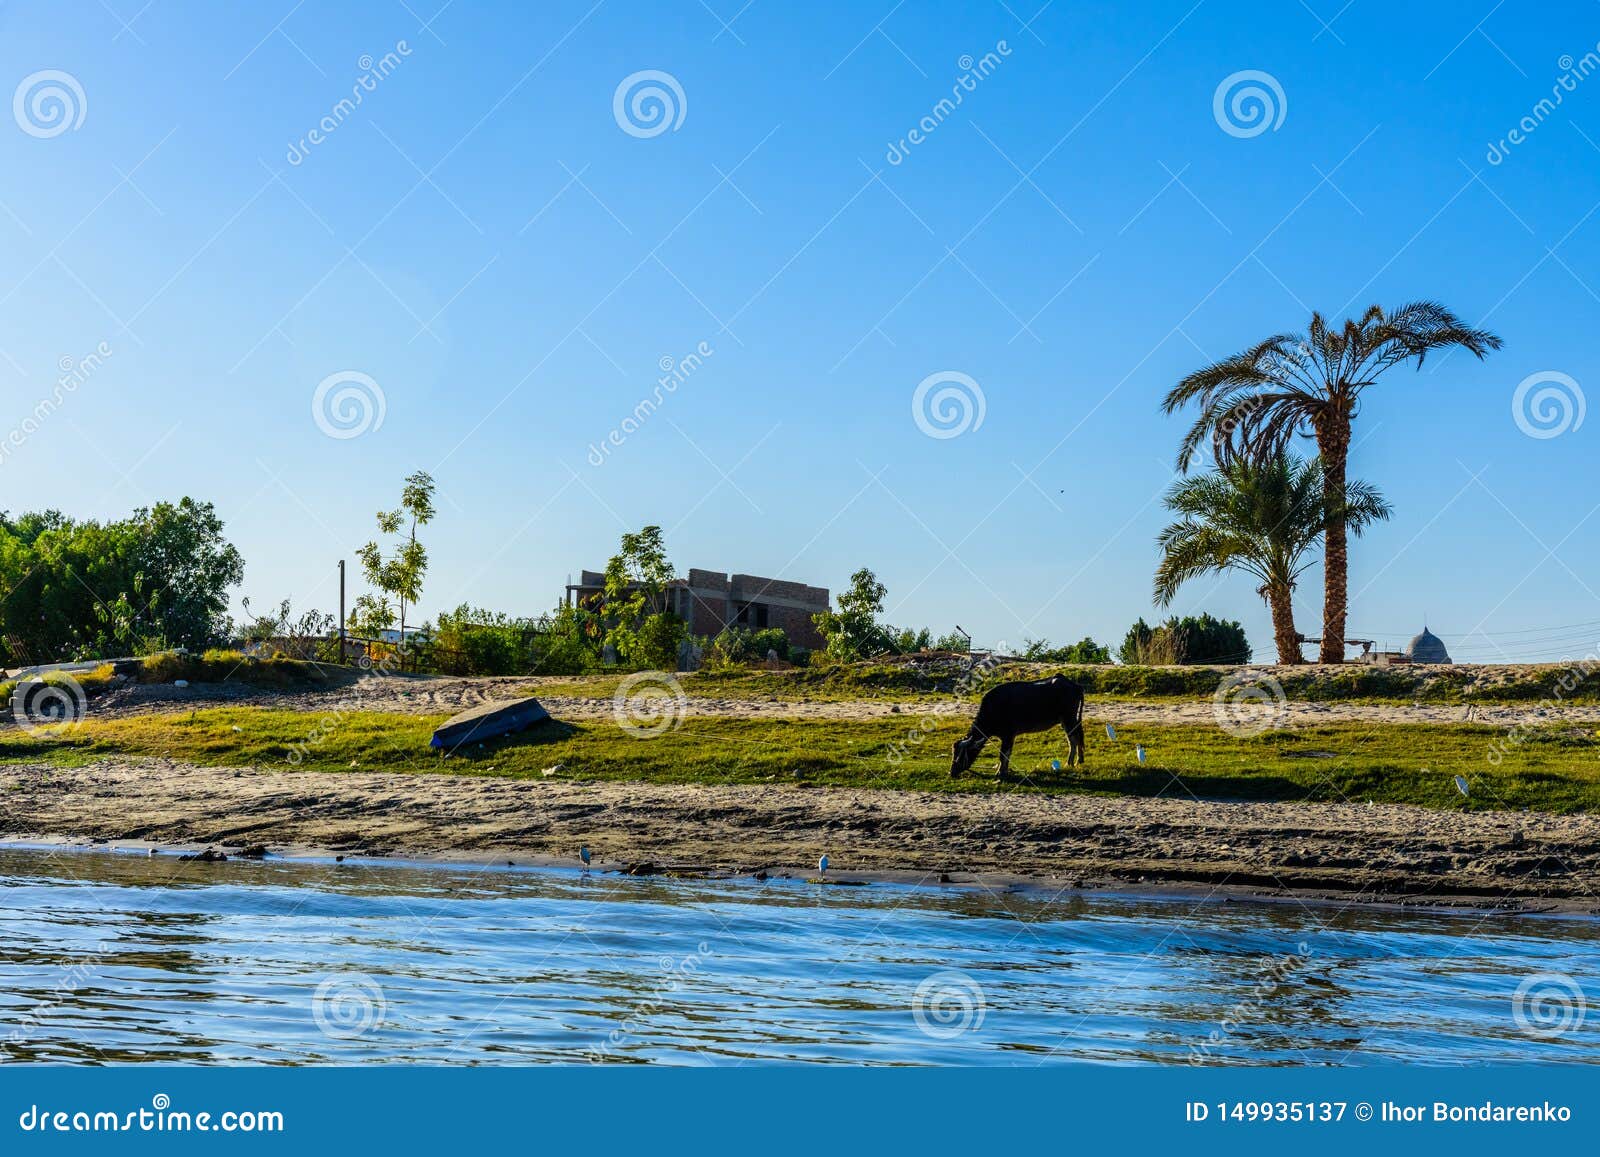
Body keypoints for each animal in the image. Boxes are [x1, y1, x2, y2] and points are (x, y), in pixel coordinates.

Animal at [950, 675, 1085, 779]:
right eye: (954, 752)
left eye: (961, 754)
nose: (951, 772)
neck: (993, 709)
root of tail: (1076, 686)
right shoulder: (1008, 737)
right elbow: (1007, 754)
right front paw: (1004, 770)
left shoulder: (1008, 735)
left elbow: (1003, 754)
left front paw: (1000, 772)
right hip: (1066, 721)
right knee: (1074, 739)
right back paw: (1078, 761)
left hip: (1069, 719)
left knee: (1074, 739)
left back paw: (1070, 763)